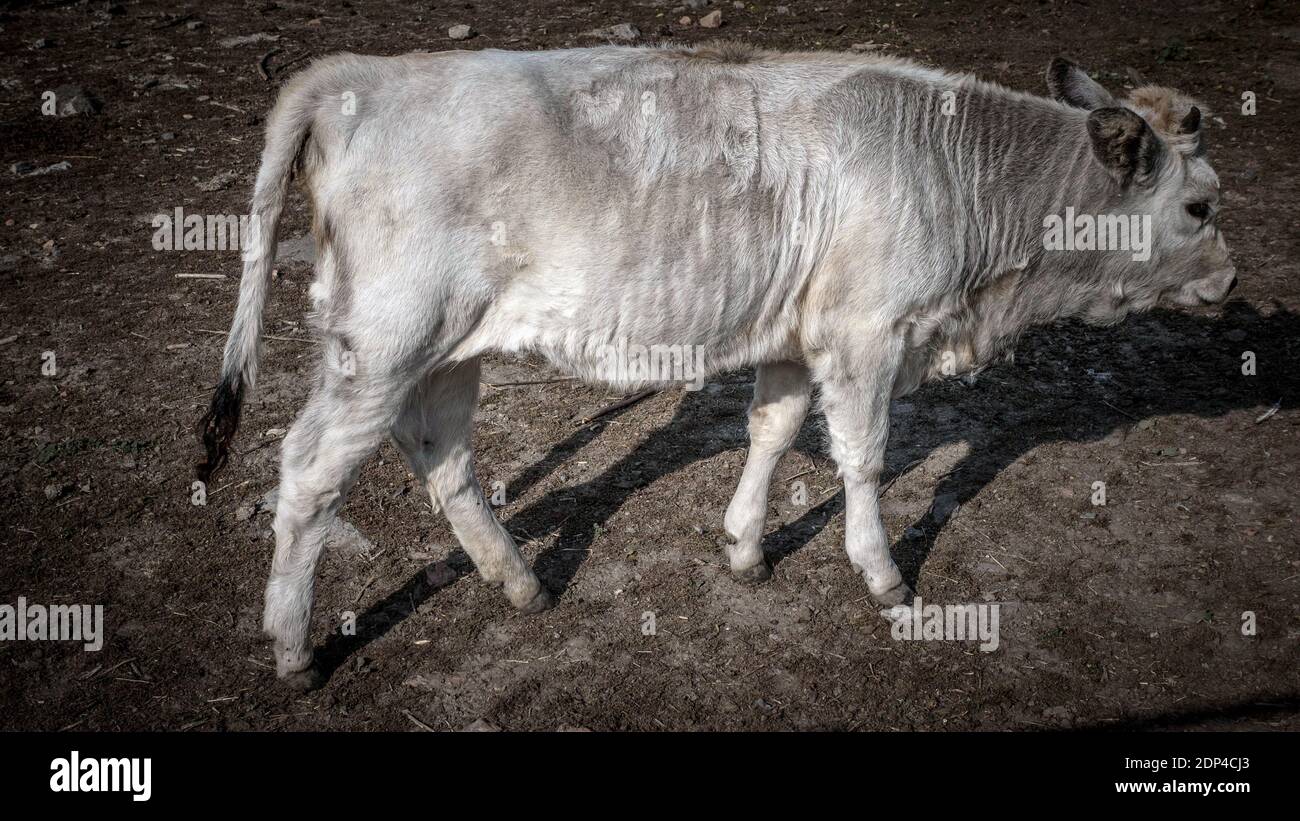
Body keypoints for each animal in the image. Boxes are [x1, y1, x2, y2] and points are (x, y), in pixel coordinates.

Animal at [196, 43, 1236, 689]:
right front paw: (884, 576)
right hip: (379, 342)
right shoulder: (866, 331)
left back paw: (519, 582)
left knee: (443, 457)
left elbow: (771, 431)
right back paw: (293, 648)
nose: (1231, 277)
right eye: (1199, 206)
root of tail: (356, 73)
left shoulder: (797, 334)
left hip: (451, 347)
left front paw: (744, 547)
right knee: (309, 470)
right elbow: (865, 457)